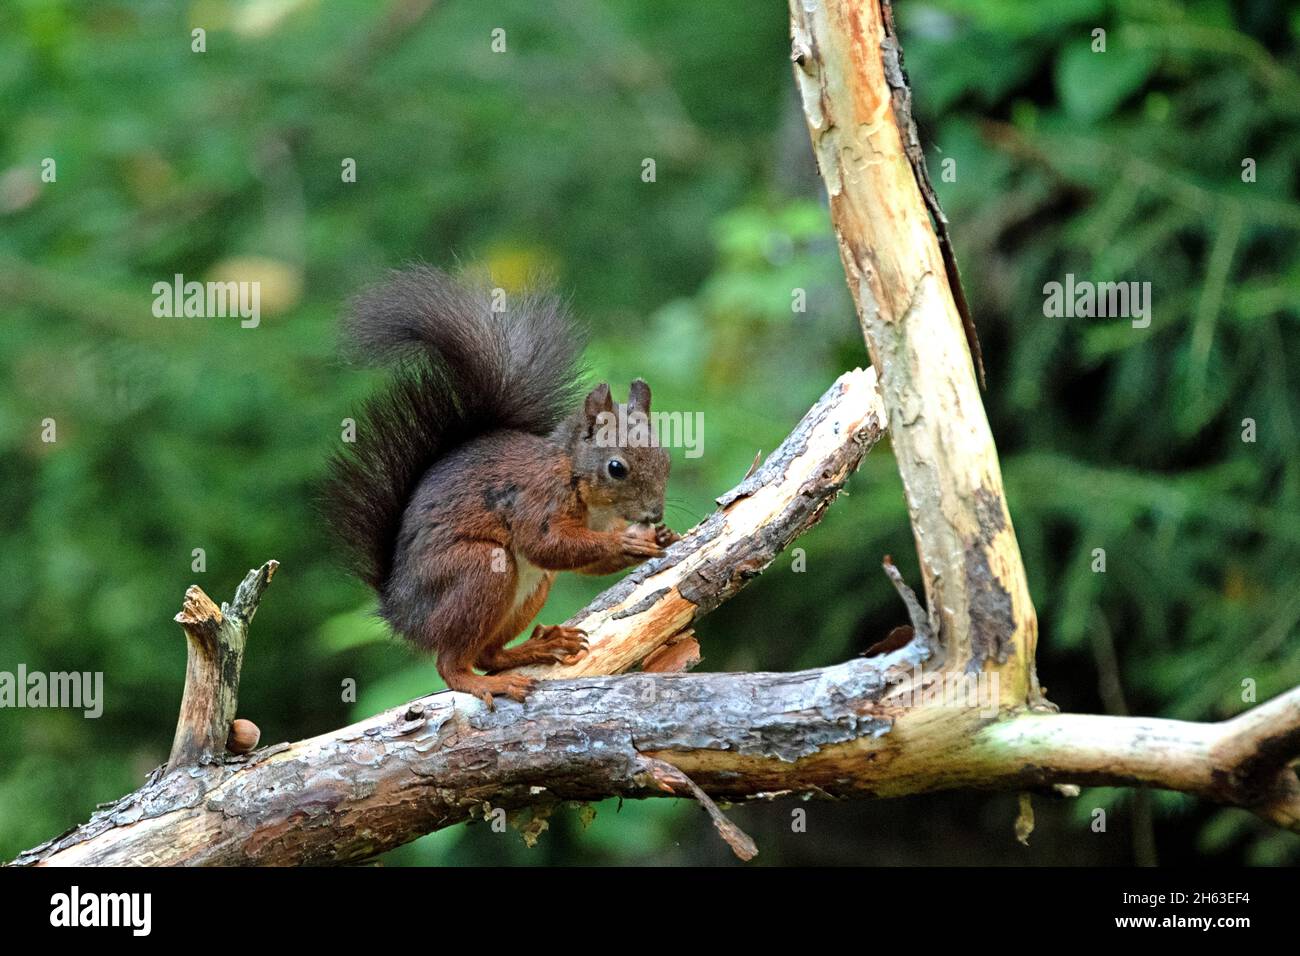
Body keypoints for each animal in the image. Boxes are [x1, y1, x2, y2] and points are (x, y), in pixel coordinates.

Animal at [324, 266, 678, 707]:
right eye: (617, 468)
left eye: (666, 457)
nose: (654, 514)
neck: (577, 480)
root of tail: (401, 613)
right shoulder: (536, 498)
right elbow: (544, 544)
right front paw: (627, 541)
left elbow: (585, 563)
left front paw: (660, 536)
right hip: (478, 570)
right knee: (451, 663)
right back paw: (483, 681)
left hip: (532, 587)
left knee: (488, 653)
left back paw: (539, 646)